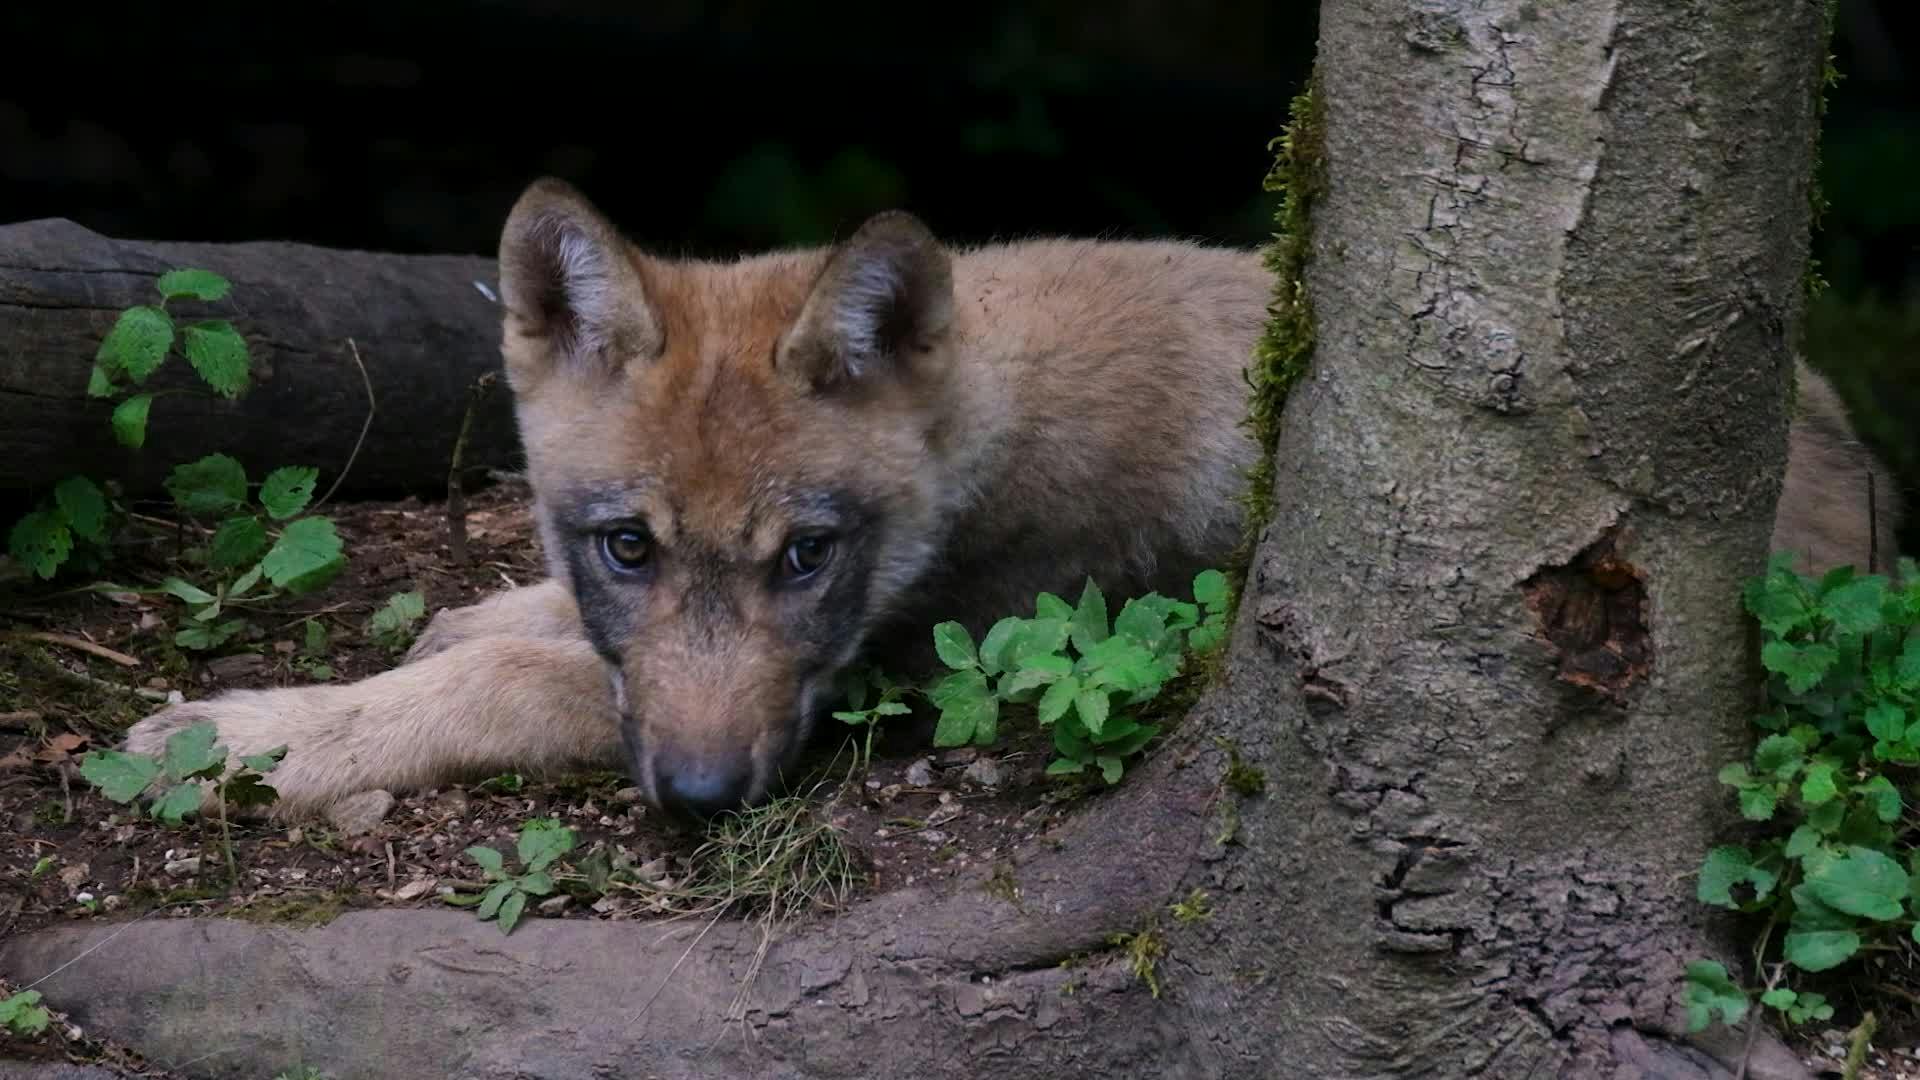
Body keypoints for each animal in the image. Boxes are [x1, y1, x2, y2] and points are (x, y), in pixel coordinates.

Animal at [122, 178, 1903, 820]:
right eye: (629, 542)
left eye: (809, 558)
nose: (698, 802)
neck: (984, 427)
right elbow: (531, 627)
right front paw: (479, 608)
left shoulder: (883, 670)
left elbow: (502, 681)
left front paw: (253, 737)